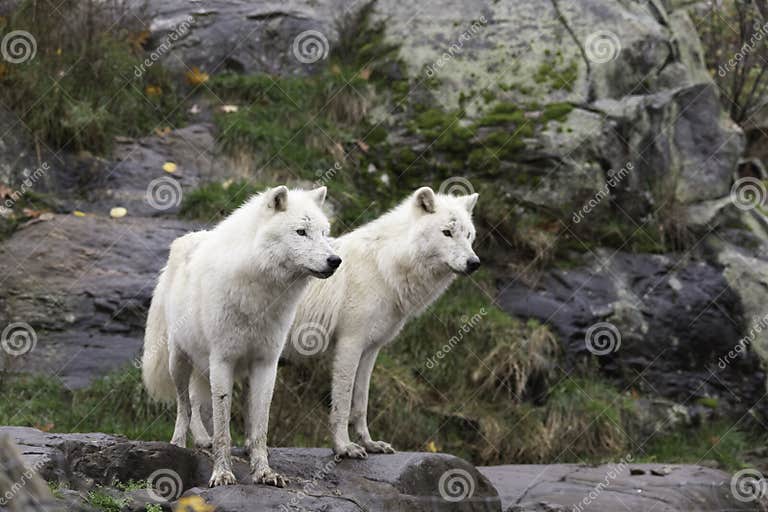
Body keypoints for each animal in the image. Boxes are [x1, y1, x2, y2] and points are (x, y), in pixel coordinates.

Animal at [142, 186, 340, 487]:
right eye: (301, 232)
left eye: (324, 233)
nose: (335, 261)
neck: (261, 294)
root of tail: (183, 241)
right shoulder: (222, 360)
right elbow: (223, 427)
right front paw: (222, 473)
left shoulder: (266, 363)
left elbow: (260, 426)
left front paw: (264, 471)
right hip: (179, 361)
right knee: (184, 404)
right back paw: (178, 442)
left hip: (216, 369)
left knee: (200, 402)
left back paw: (209, 441)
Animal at [289, 186, 480, 458]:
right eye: (447, 232)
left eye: (469, 234)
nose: (474, 263)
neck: (384, 268)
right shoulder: (349, 344)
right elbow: (343, 402)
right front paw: (343, 447)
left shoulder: (370, 350)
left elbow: (361, 403)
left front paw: (369, 443)